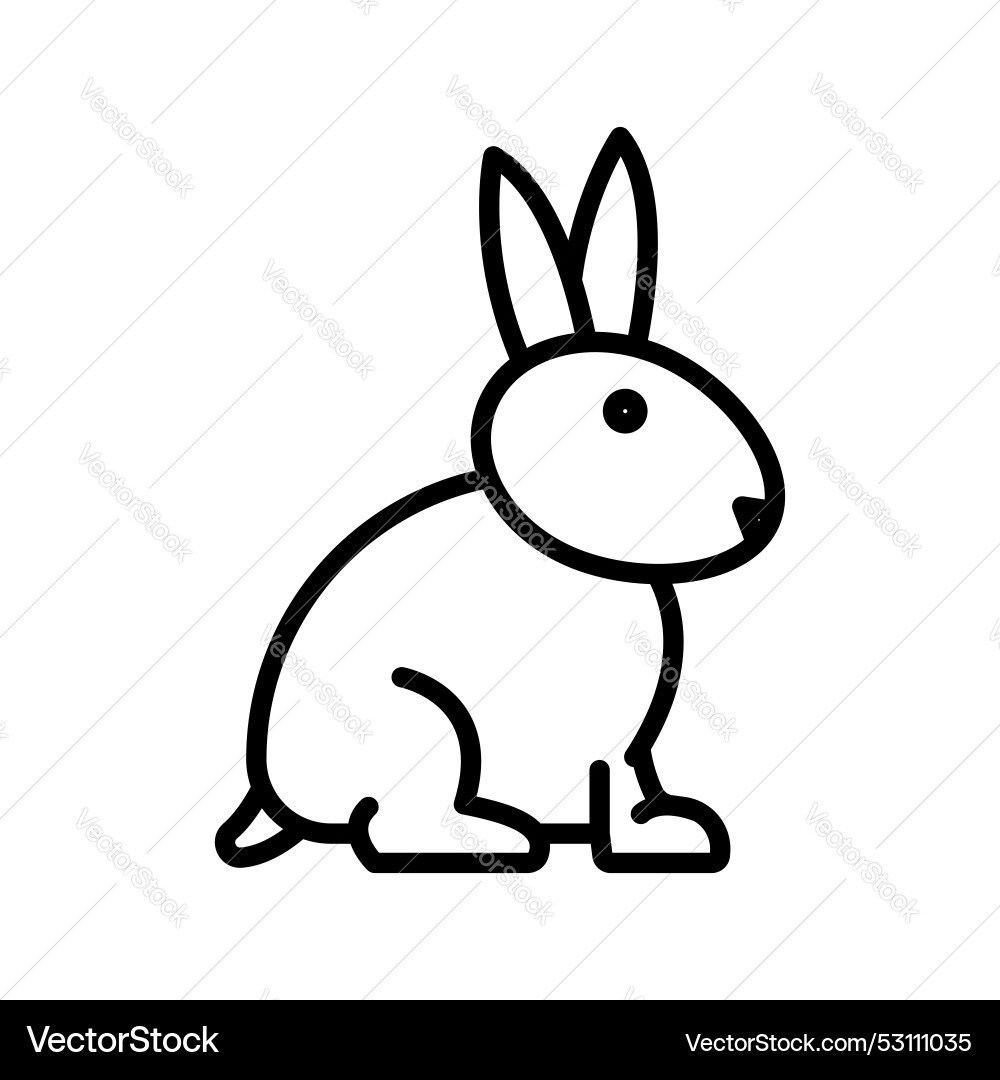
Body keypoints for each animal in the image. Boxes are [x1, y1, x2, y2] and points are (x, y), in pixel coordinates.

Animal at [217, 128, 784, 873]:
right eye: (625, 410)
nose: (755, 509)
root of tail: (274, 793)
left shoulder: (617, 743)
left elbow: (619, 777)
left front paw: (659, 836)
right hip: (421, 716)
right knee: (388, 818)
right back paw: (493, 839)